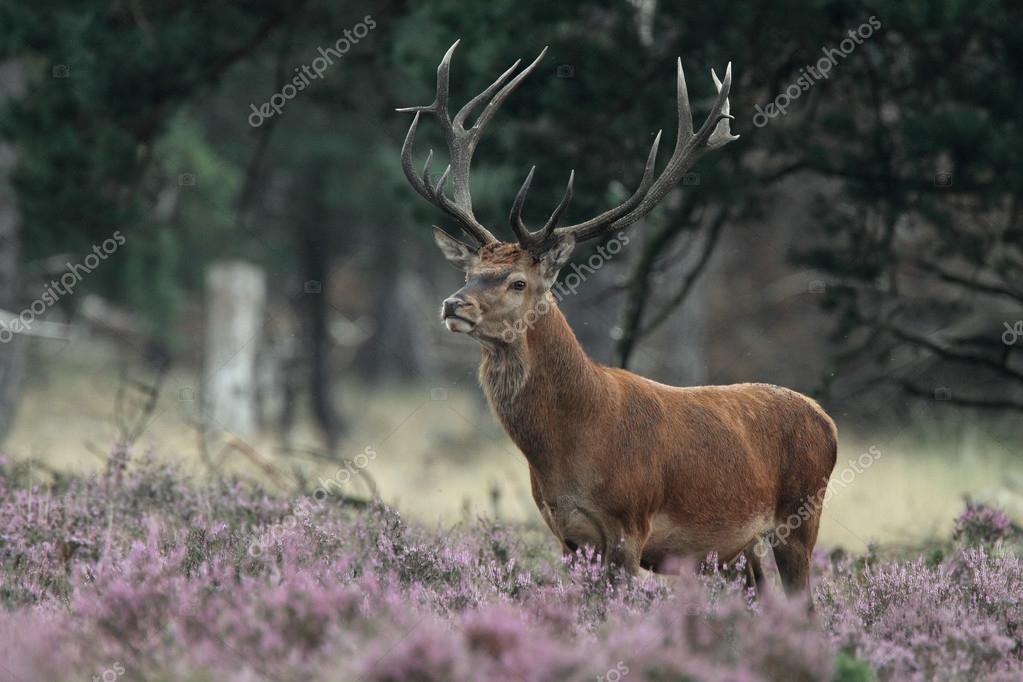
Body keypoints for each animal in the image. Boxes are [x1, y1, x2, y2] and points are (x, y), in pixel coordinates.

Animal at [398, 41, 837, 595]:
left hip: (801, 516)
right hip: (742, 551)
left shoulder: (631, 524)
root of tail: (829, 422)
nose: (455, 304)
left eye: (517, 282)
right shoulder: (566, 536)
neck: (573, 447)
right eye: (472, 271)